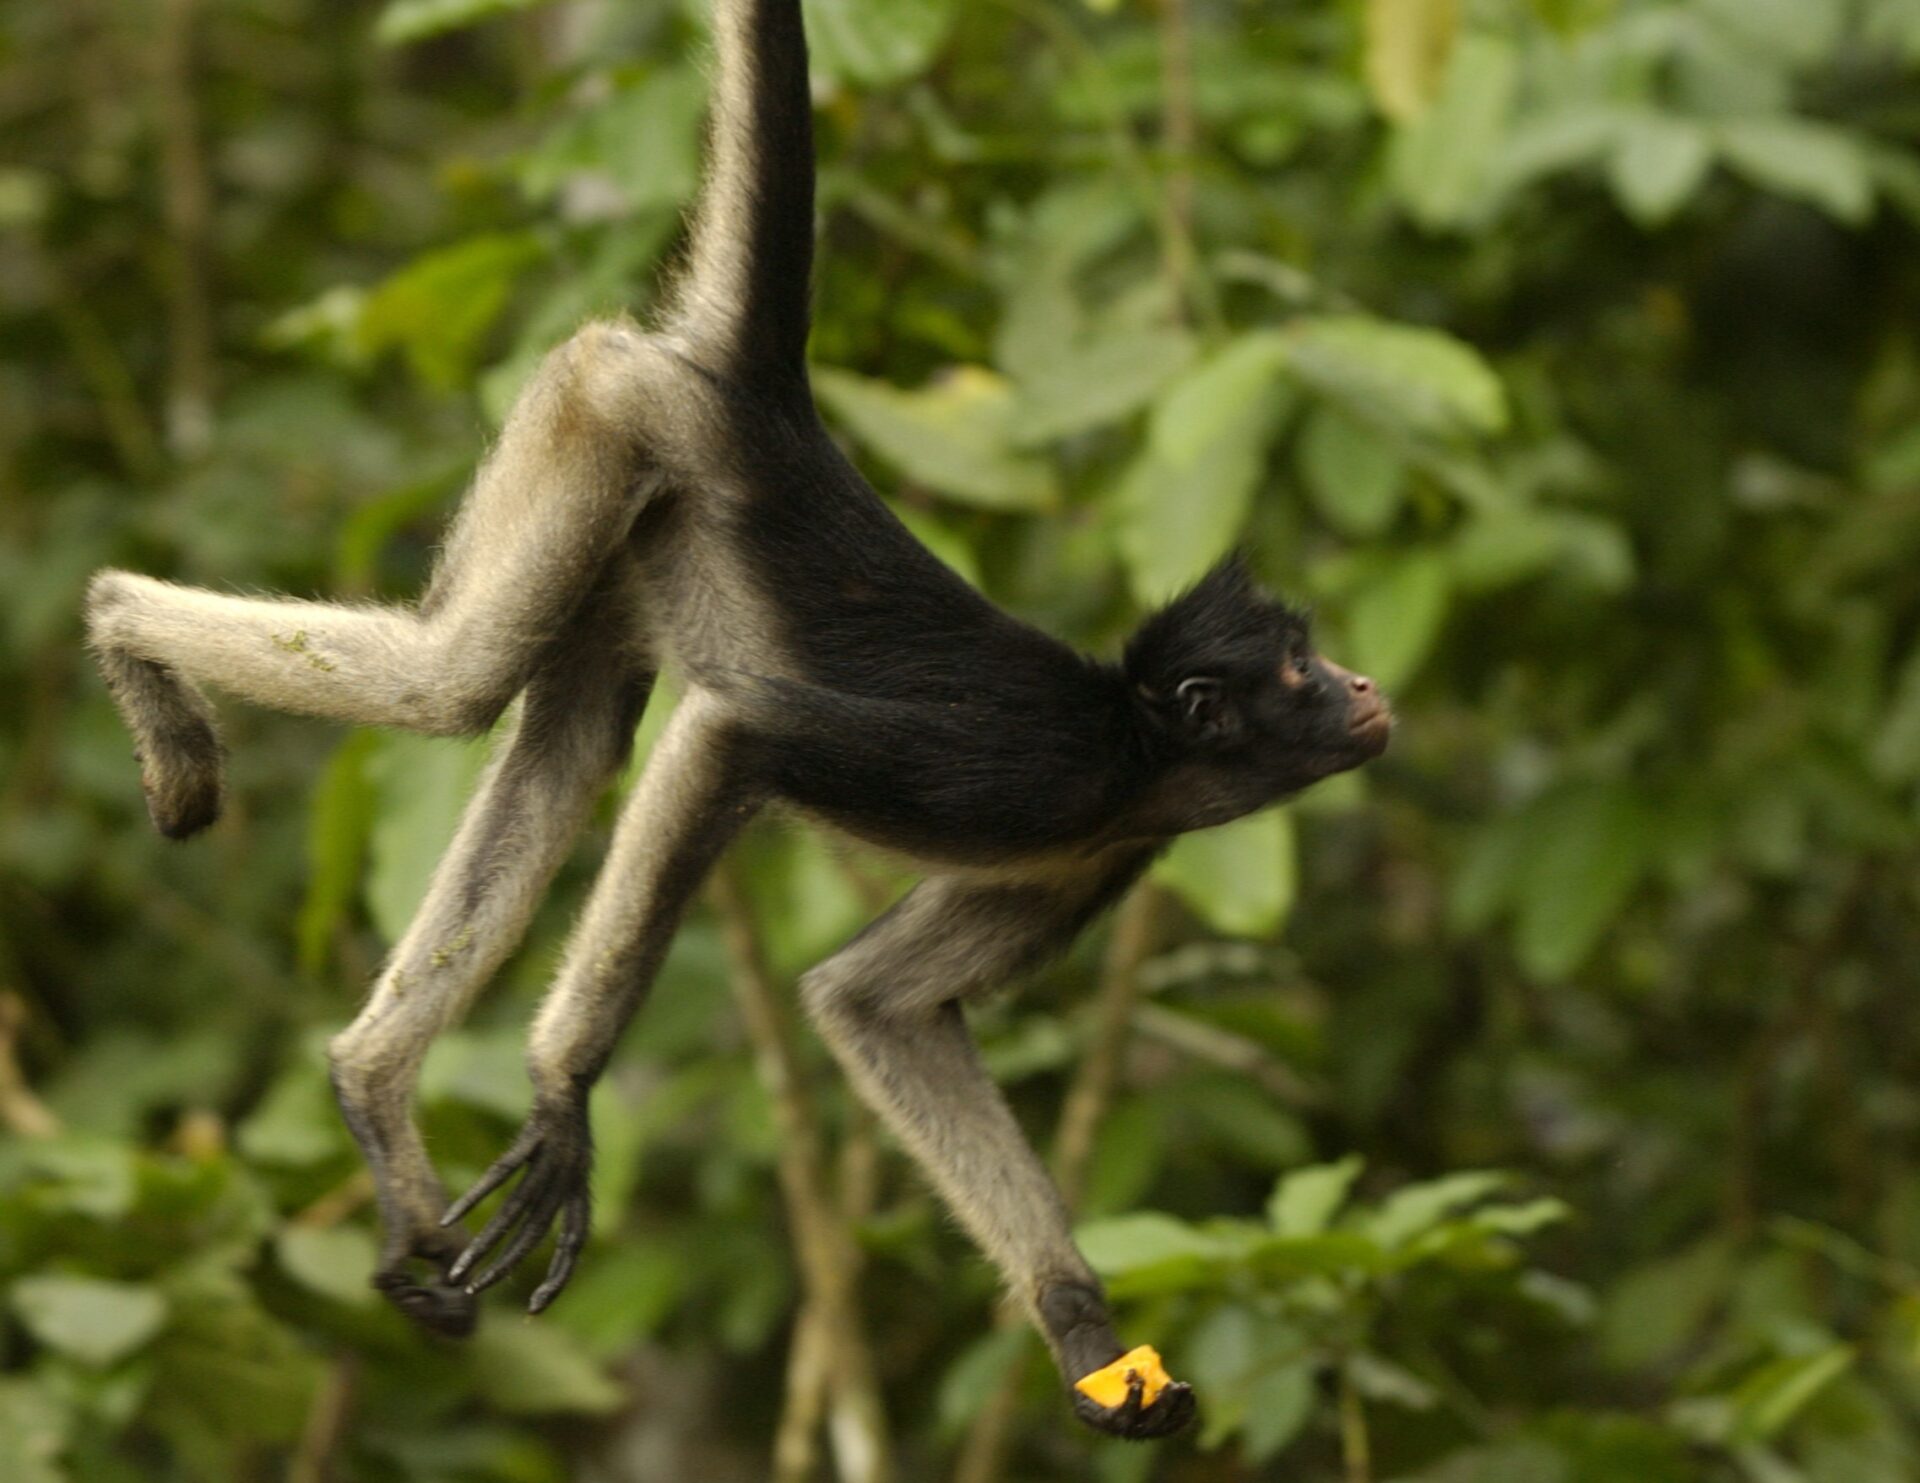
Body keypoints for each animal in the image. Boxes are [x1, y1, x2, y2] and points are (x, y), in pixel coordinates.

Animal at [85, 0, 1391, 1442]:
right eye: (1299, 668)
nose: (1364, 689)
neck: (1143, 749)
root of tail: (763, 407)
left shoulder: (1103, 842)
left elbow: (873, 1002)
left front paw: (1085, 1337)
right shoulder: (1040, 772)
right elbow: (734, 740)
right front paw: (562, 1098)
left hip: (627, 490)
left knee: (572, 737)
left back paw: (371, 1084)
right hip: (606, 408)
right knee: (455, 685)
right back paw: (119, 622)